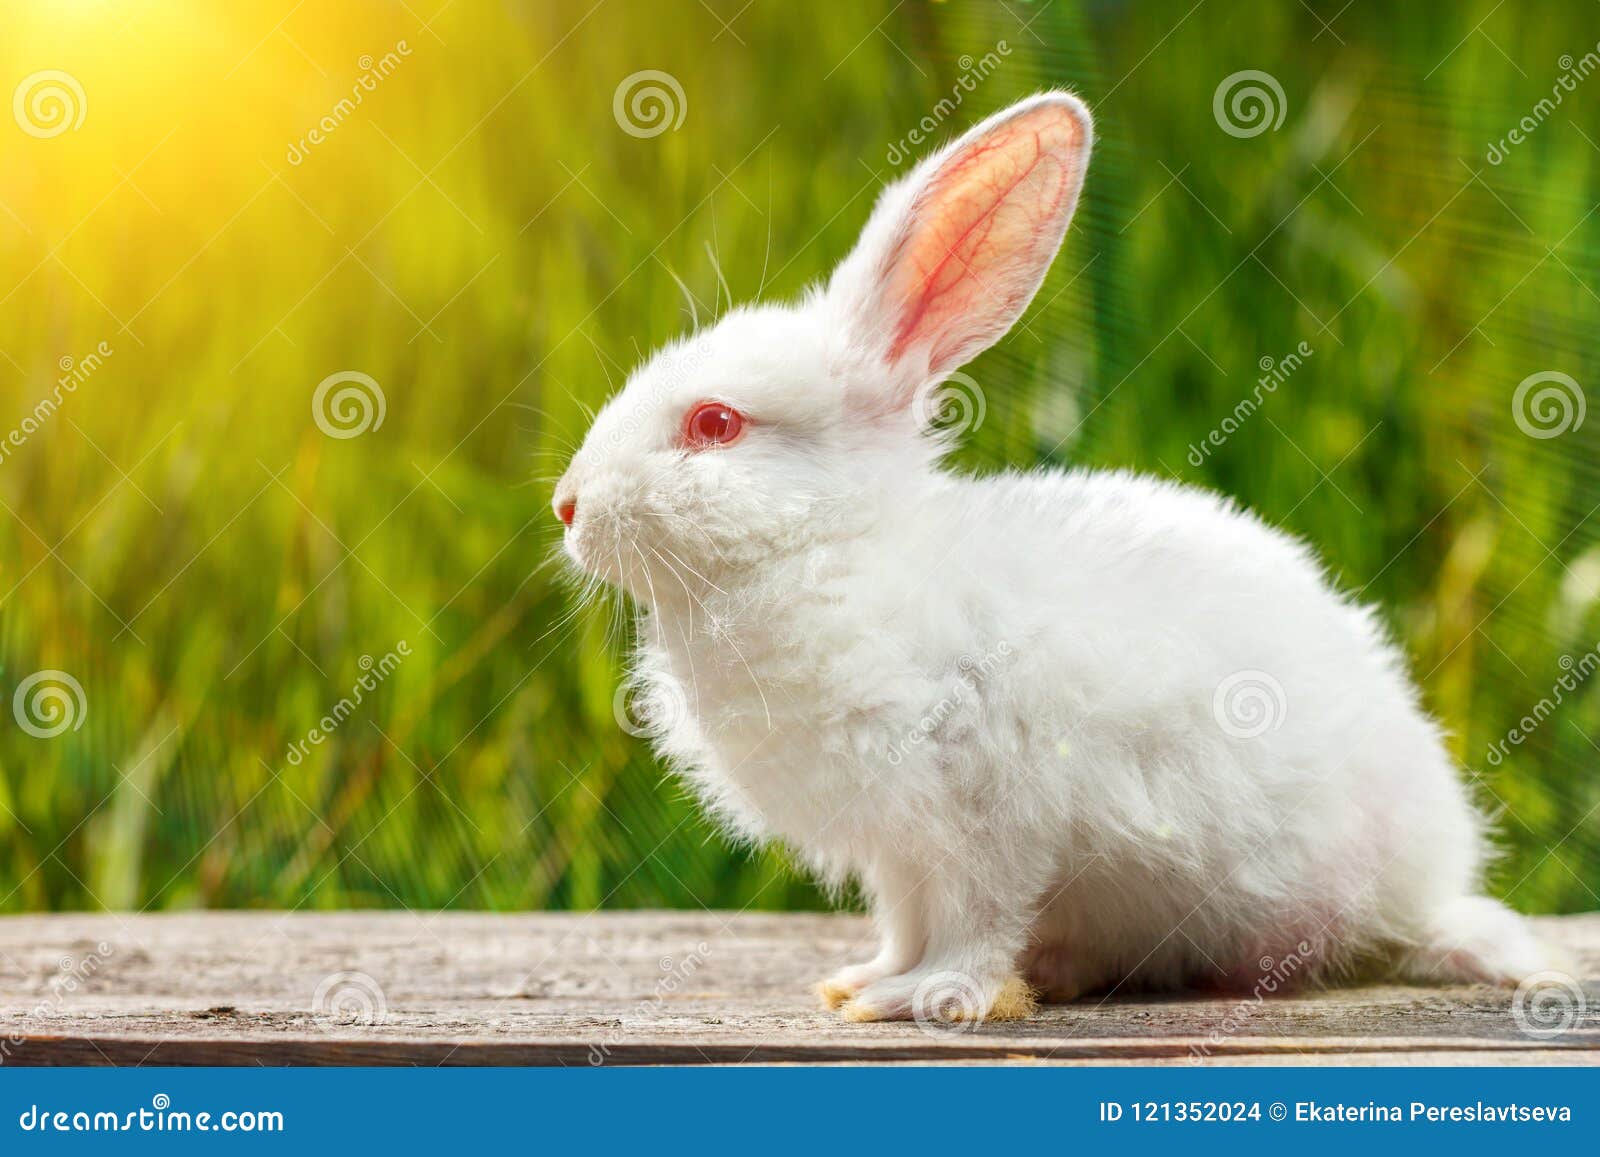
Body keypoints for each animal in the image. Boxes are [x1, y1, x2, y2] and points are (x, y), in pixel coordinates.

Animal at [552, 91, 1555, 1023]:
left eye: (715, 424)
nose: (566, 505)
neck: (829, 551)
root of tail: (1428, 887)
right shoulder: (899, 851)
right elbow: (906, 921)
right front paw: (863, 983)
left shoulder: (985, 819)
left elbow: (975, 920)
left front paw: (935, 996)